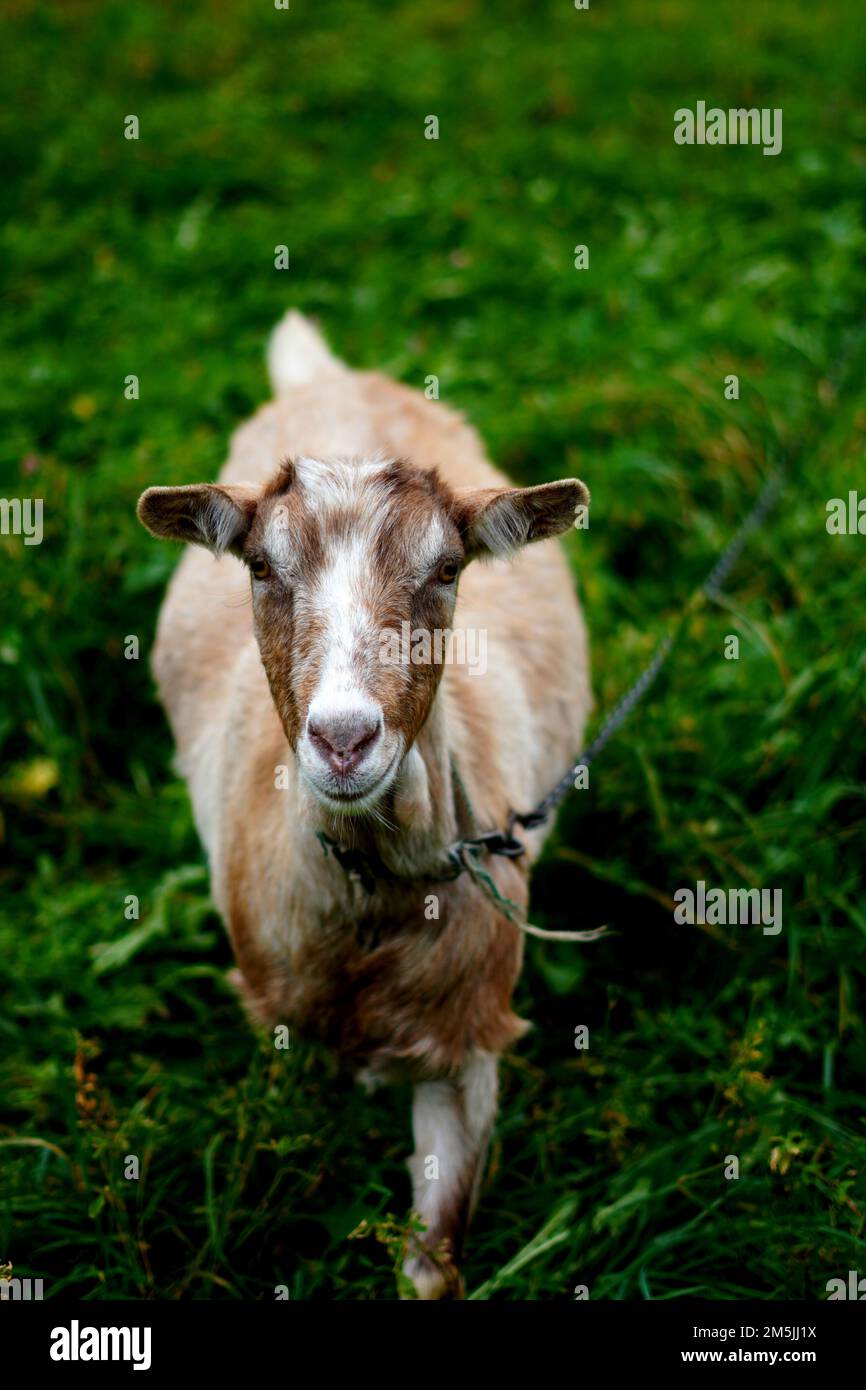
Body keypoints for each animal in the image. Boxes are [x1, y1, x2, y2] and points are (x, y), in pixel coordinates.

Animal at [137, 311, 591, 1298]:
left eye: (449, 567)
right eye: (260, 565)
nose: (344, 737)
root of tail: (327, 376)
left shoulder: (468, 1047)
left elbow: (433, 1258)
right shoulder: (280, 1022)